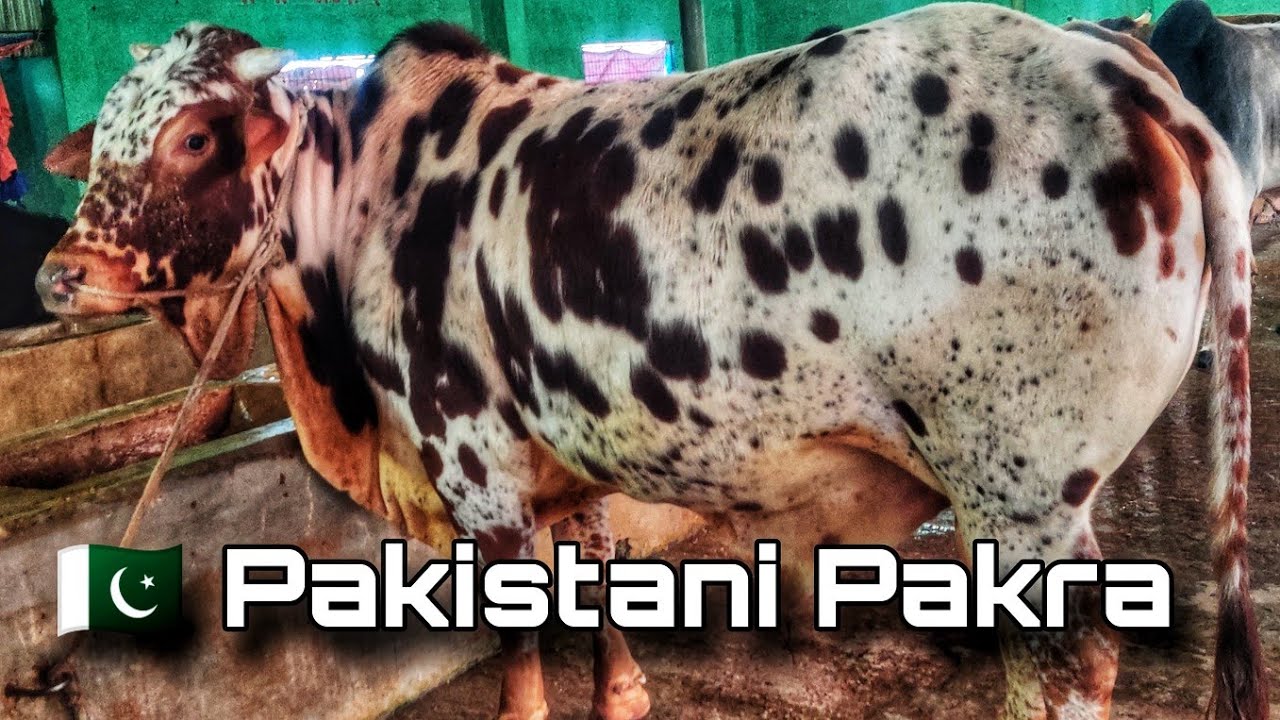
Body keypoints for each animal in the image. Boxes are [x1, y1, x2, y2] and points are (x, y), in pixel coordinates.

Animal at [34, 4, 1267, 719]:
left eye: (195, 135)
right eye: (100, 142)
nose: (57, 278)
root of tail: (1118, 69)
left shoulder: (474, 468)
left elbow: (520, 652)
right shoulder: (567, 458)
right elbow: (597, 588)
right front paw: (622, 687)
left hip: (1016, 496)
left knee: (1063, 669)